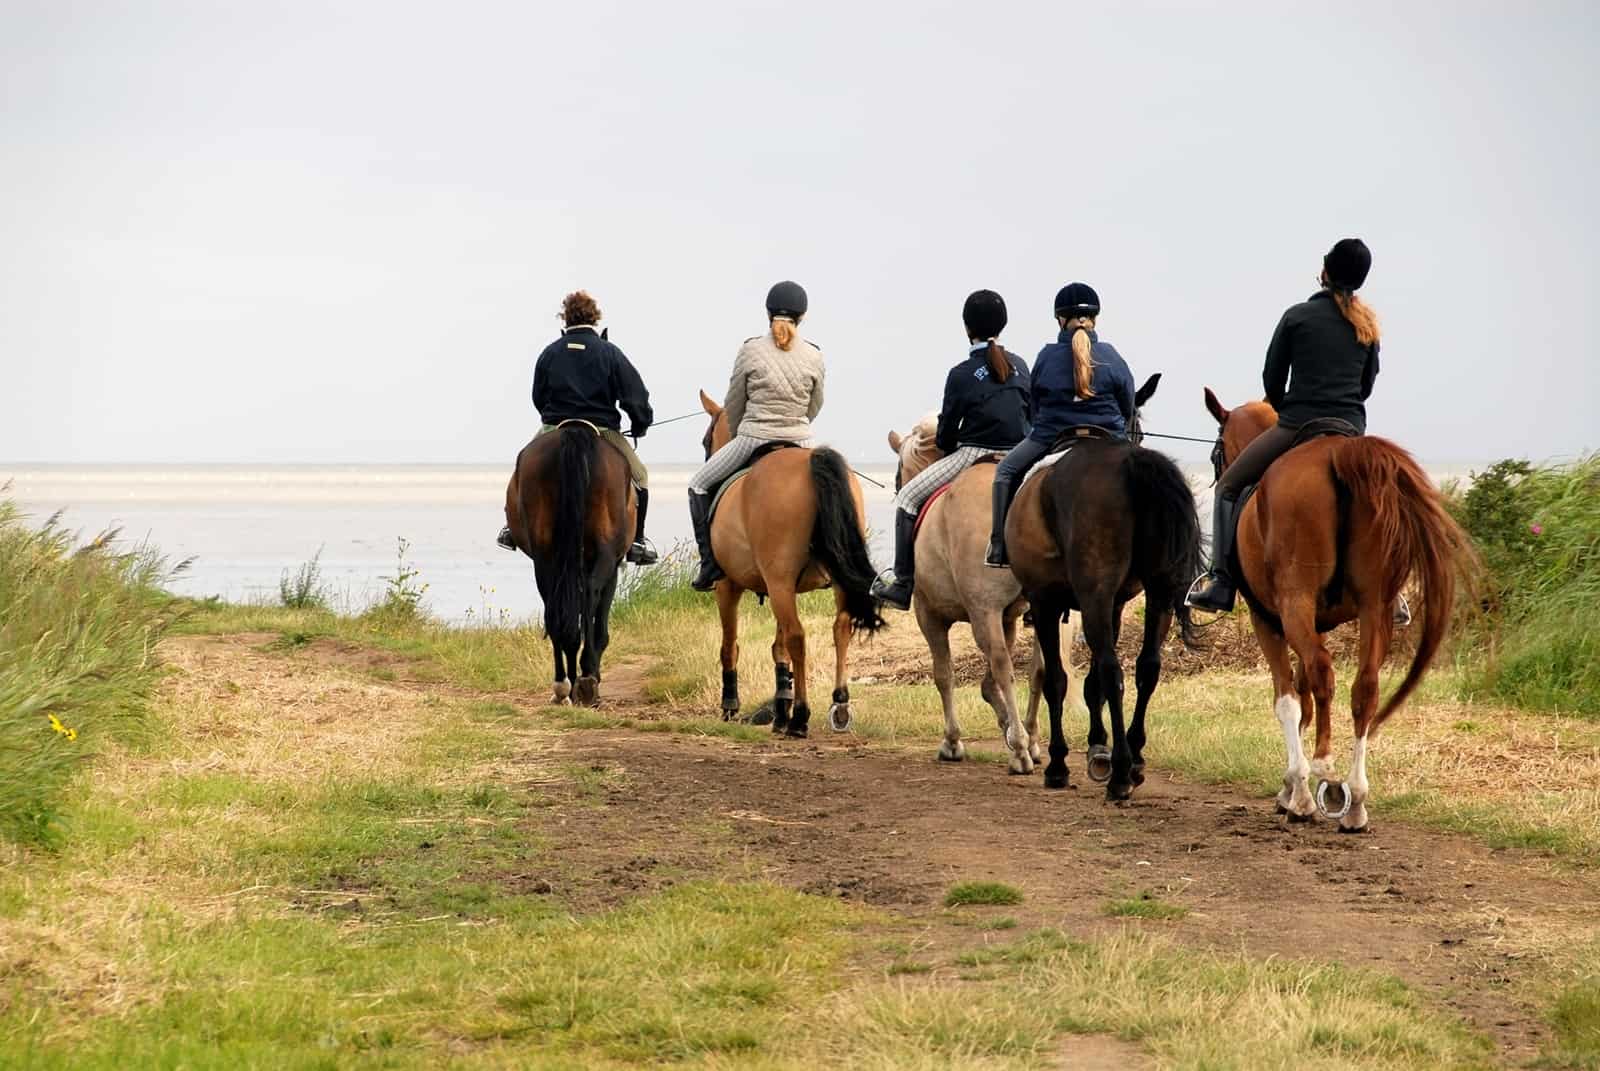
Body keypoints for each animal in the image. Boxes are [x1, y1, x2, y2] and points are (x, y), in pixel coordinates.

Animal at [504, 422, 633, 706]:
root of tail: (574, 432)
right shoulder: (614, 566)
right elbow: (600, 626)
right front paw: (591, 672)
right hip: (604, 555)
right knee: (590, 596)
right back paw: (583, 681)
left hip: (546, 558)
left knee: (557, 612)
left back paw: (566, 684)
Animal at [697, 390, 886, 736]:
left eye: (706, 439)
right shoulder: (777, 589)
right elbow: (778, 646)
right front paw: (780, 708)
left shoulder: (727, 586)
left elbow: (730, 645)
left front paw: (731, 704)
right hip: (822, 581)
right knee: (840, 627)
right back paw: (839, 705)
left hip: (777, 582)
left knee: (798, 636)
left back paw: (800, 716)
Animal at [885, 416, 1080, 774]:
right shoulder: (1008, 618)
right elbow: (990, 683)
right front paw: (1009, 729)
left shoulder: (930, 614)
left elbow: (944, 675)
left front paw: (953, 741)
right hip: (1039, 611)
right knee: (1040, 669)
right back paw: (1031, 740)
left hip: (980, 611)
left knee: (1003, 666)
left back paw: (1020, 751)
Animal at [1007, 374, 1205, 799]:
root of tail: (1130, 465)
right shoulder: (1111, 604)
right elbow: (1092, 679)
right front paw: (1098, 749)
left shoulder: (1046, 602)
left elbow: (1058, 680)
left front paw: (1060, 763)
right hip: (1157, 595)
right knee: (1147, 667)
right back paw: (1134, 757)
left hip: (1086, 596)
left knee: (1114, 670)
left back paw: (1120, 774)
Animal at [1201, 389, 1472, 832]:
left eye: (1216, 451)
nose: (1218, 466)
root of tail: (1340, 453)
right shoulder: (1317, 623)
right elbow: (1305, 695)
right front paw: (1296, 789)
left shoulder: (1269, 620)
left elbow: (1289, 700)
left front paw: (1296, 791)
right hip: (1375, 608)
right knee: (1365, 688)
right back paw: (1355, 800)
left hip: (1295, 602)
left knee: (1324, 674)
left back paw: (1324, 771)